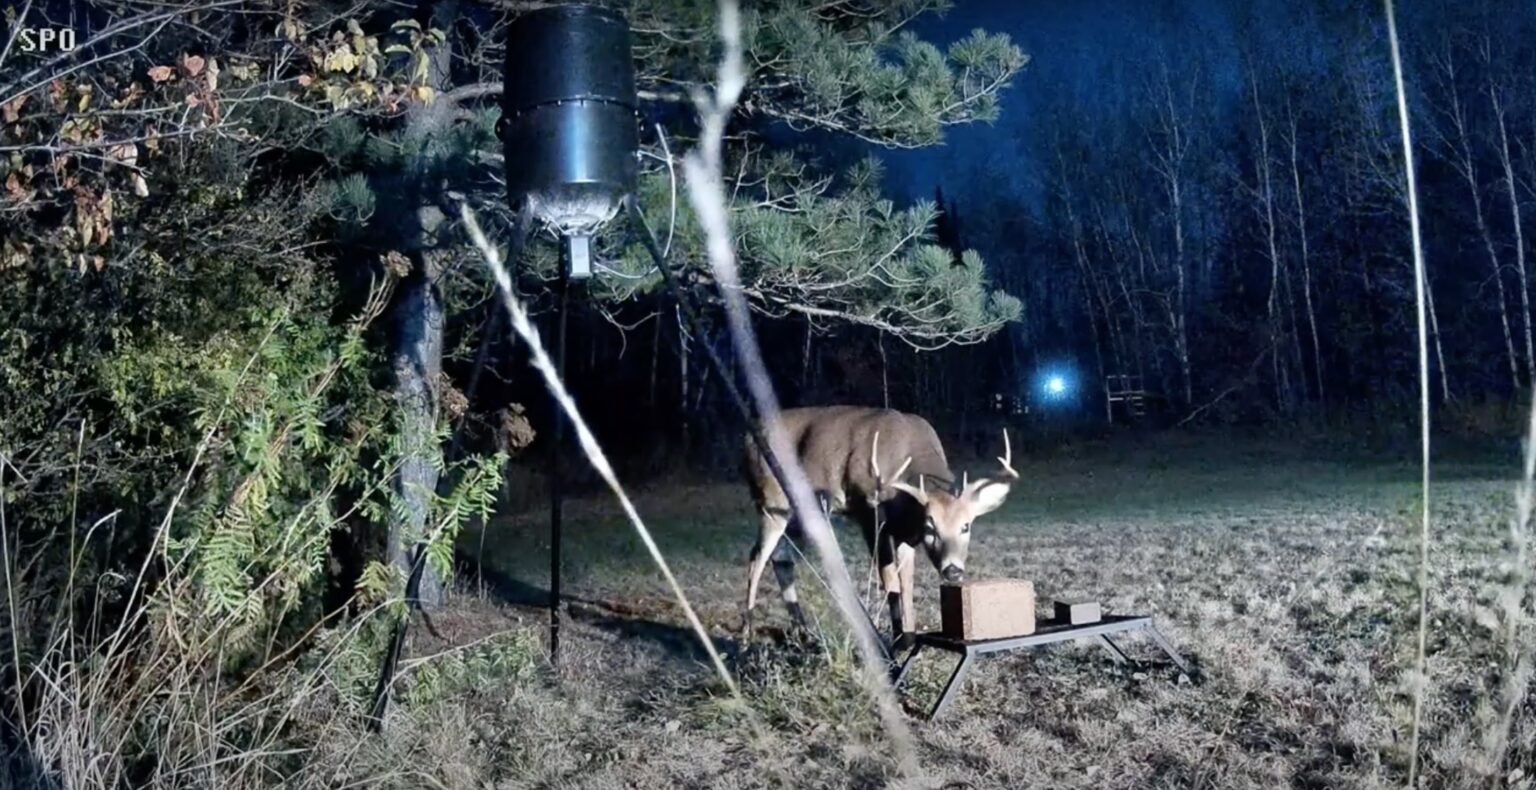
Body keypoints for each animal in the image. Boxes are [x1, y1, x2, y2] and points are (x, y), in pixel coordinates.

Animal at [740, 406, 1018, 651]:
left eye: (966, 526)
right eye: (931, 527)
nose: (953, 570)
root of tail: (748, 436)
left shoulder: (905, 532)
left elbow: (907, 583)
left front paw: (910, 636)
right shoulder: (870, 512)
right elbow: (889, 579)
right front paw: (898, 641)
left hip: (799, 513)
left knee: (781, 558)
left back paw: (803, 635)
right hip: (772, 501)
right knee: (756, 558)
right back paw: (746, 638)